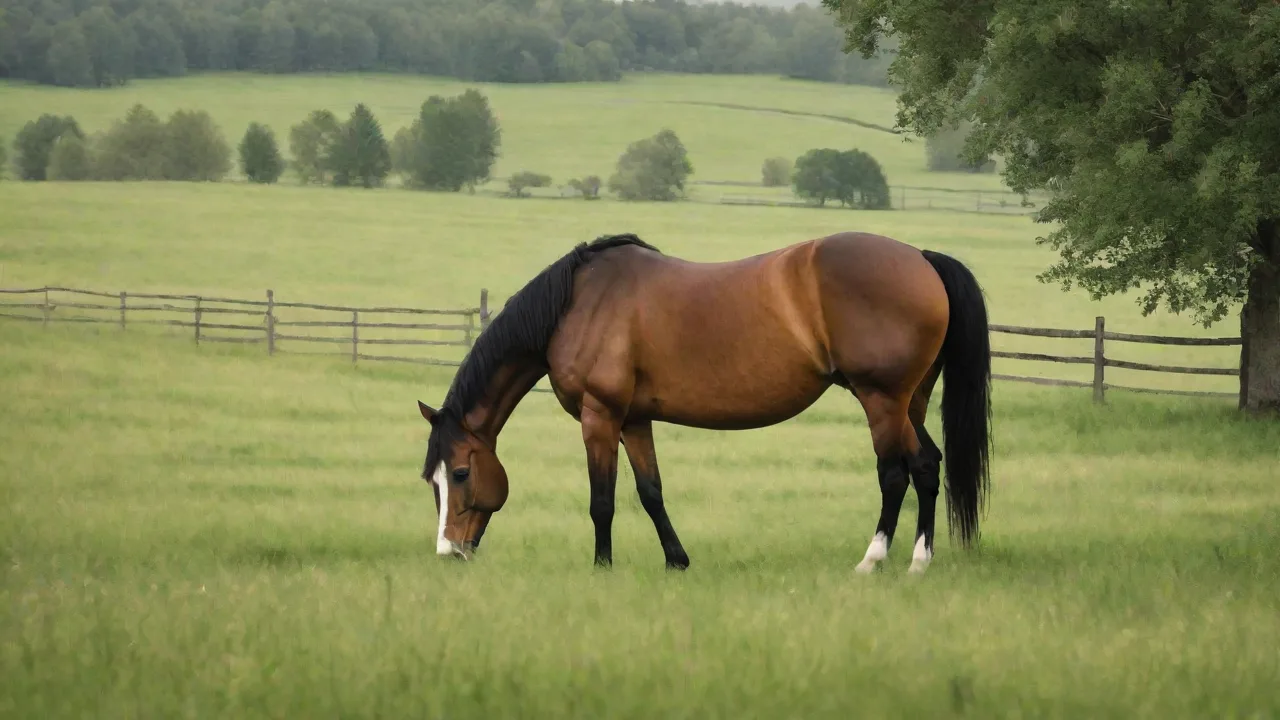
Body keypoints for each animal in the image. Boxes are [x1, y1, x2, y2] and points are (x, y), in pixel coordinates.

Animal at [416, 231, 992, 574]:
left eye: (461, 473)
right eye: (432, 481)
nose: (449, 551)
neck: (576, 305)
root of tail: (921, 258)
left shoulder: (599, 415)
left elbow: (602, 498)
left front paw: (602, 566)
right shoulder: (634, 419)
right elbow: (651, 492)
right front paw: (677, 561)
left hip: (881, 400)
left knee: (897, 473)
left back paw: (874, 561)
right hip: (909, 403)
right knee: (928, 465)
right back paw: (920, 560)